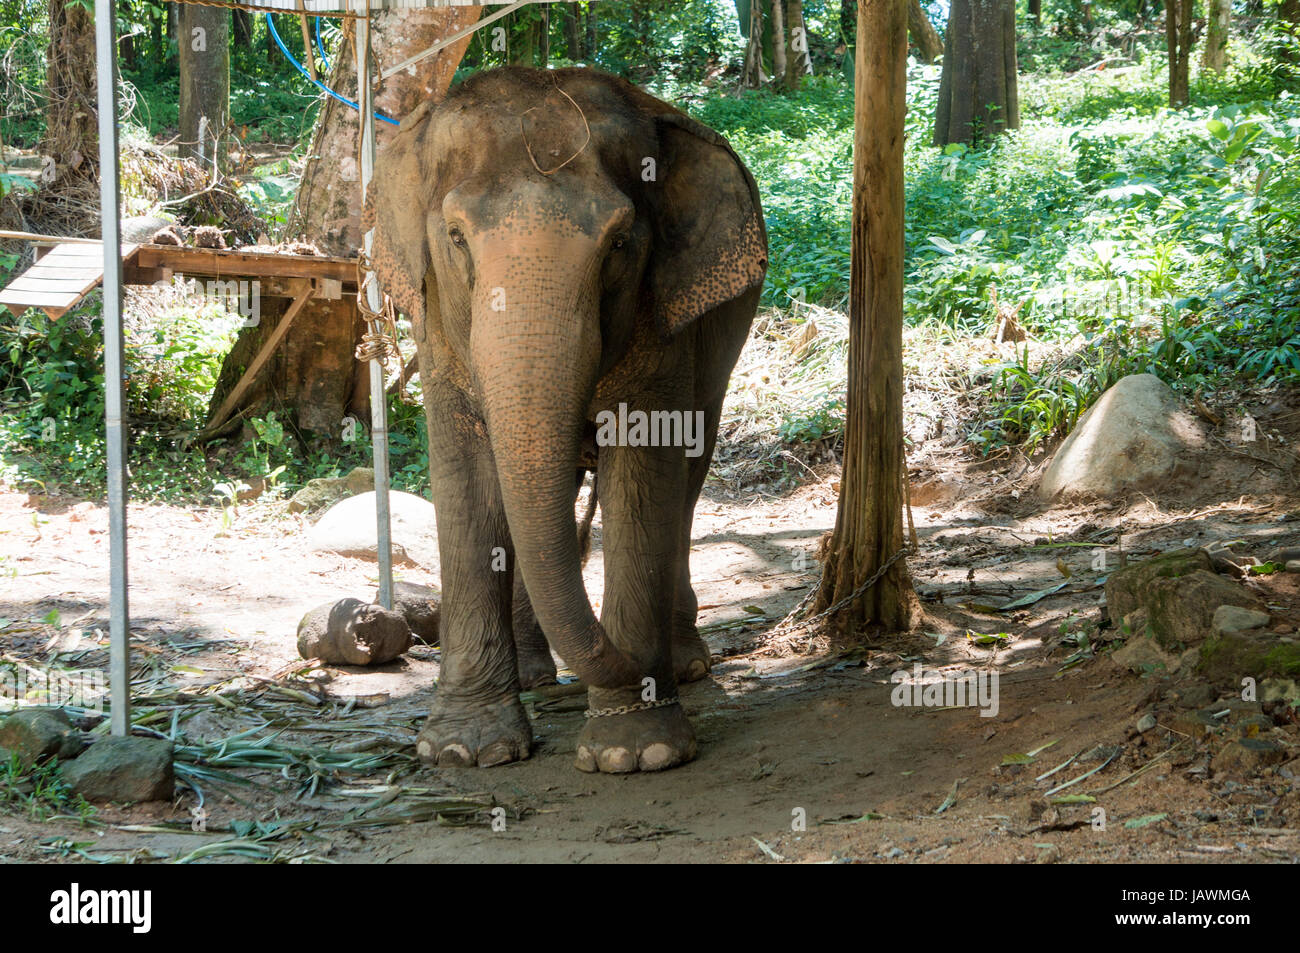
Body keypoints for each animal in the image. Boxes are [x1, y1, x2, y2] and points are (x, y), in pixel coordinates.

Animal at [364, 67, 766, 774]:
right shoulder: (437, 324)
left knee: (688, 477)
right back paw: (535, 677)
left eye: (620, 243)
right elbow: (467, 478)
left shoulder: (663, 326)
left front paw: (638, 751)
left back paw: (684, 663)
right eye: (457, 238)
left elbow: (643, 479)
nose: (630, 669)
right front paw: (464, 750)